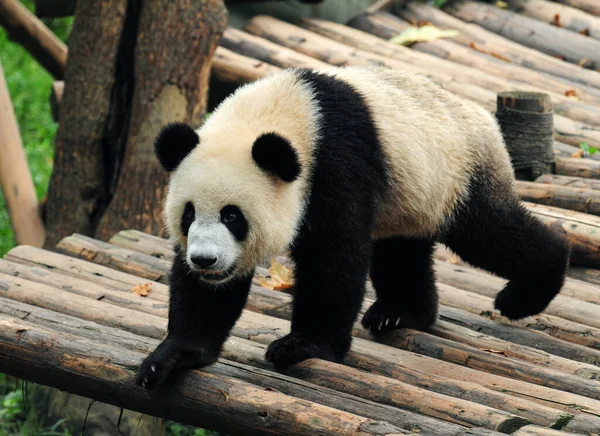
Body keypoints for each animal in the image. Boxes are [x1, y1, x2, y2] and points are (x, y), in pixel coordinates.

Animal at [135, 65, 568, 392]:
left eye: (232, 216)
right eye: (189, 214)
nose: (205, 260)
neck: (286, 112)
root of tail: (484, 118)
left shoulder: (335, 163)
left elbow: (333, 257)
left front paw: (304, 345)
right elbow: (207, 297)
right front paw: (174, 356)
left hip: (457, 172)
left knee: (489, 233)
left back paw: (527, 291)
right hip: (411, 194)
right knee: (401, 252)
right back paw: (402, 312)